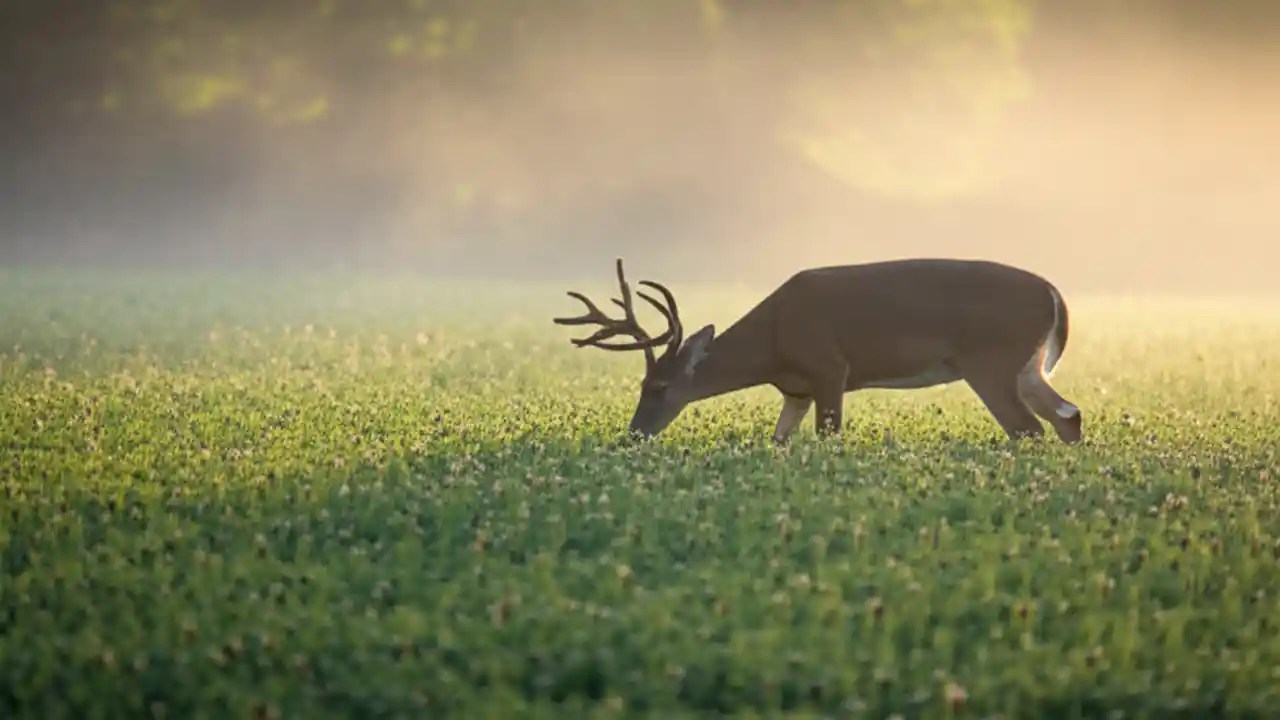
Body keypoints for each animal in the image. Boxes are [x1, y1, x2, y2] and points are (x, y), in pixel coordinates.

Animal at [553, 258, 1082, 445]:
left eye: (659, 386)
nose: (634, 435)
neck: (772, 344)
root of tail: (1055, 293)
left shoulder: (830, 368)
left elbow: (829, 437)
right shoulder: (796, 389)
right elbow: (780, 441)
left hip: (990, 361)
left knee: (1029, 428)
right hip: (1026, 367)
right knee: (1068, 416)